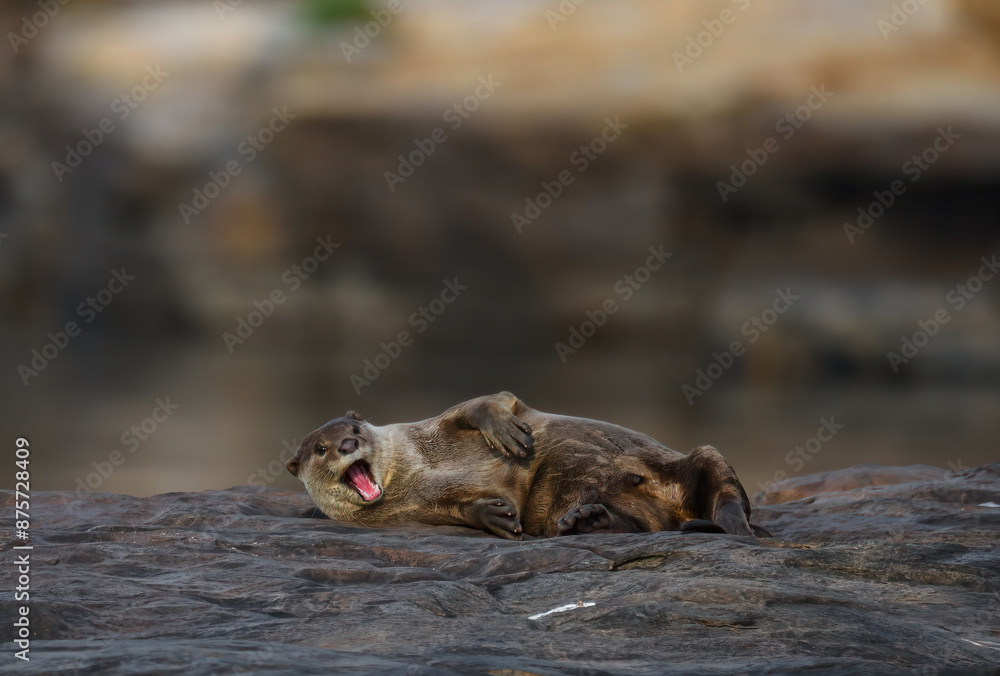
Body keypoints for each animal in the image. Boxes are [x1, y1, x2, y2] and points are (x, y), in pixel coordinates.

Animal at [286, 392, 754, 539]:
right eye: (321, 449)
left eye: (354, 428)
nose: (348, 443)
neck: (416, 469)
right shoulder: (420, 510)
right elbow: (465, 510)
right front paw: (494, 515)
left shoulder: (428, 426)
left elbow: (485, 403)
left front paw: (505, 431)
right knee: (637, 527)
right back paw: (590, 521)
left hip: (699, 457)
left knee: (723, 484)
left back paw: (736, 525)